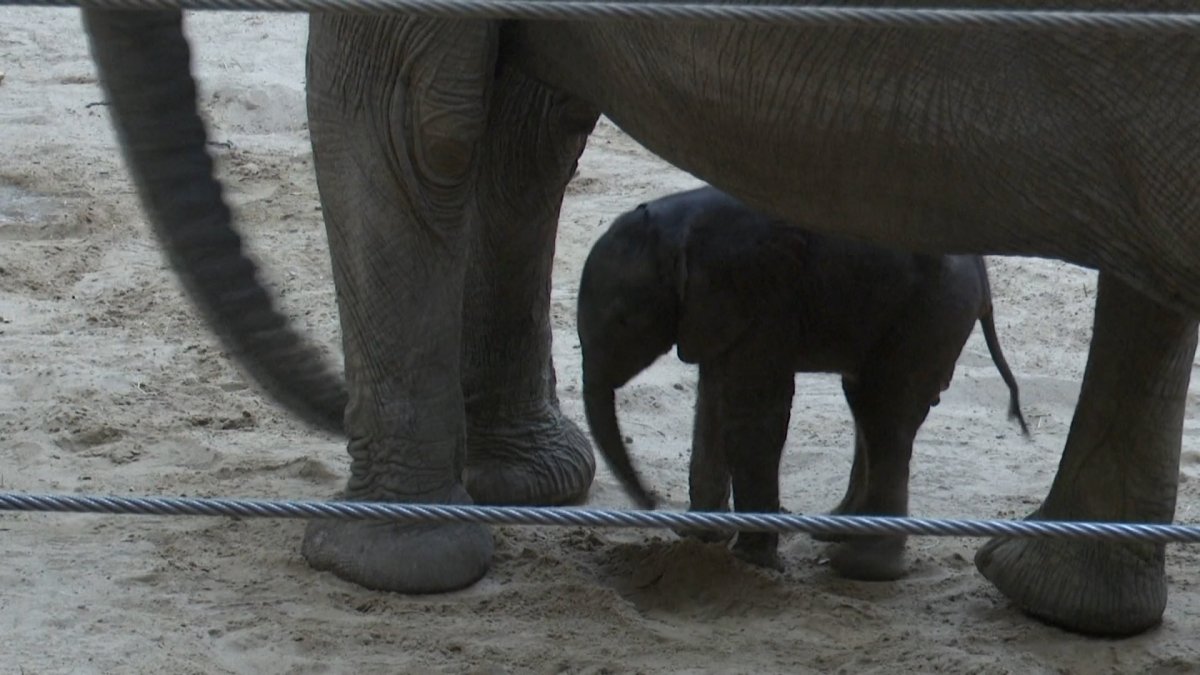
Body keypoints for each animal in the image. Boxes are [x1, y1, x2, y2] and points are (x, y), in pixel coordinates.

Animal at [578, 185, 1030, 579]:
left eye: (623, 320)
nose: (651, 501)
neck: (680, 225)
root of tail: (982, 274)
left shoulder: (765, 299)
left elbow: (754, 411)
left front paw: (748, 561)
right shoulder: (717, 311)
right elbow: (712, 400)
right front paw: (700, 539)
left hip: (930, 314)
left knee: (882, 412)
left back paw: (862, 568)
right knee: (869, 408)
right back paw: (833, 533)